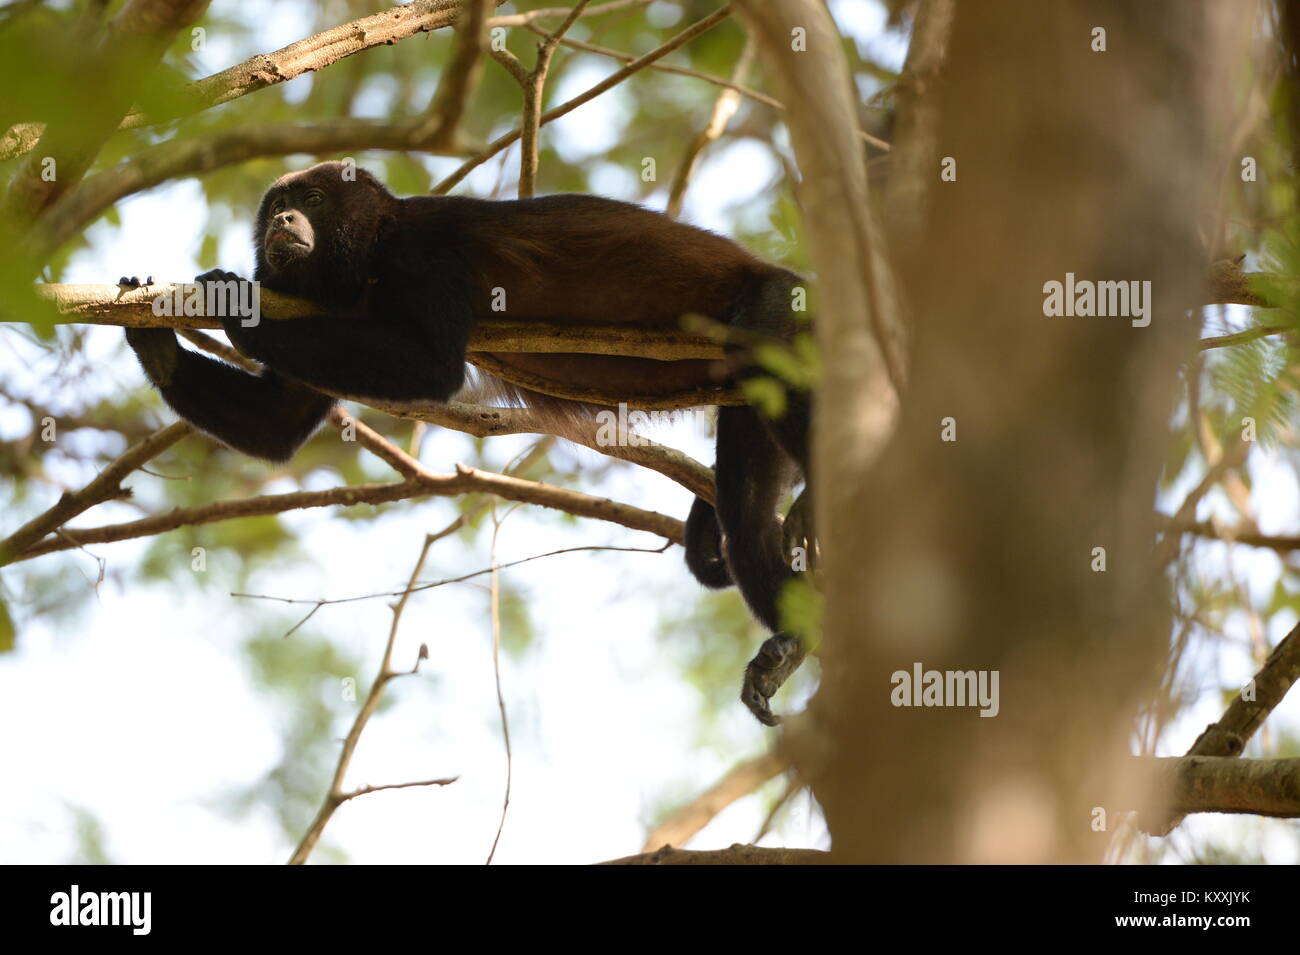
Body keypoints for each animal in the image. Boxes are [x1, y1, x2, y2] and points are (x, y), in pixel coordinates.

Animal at [124, 161, 813, 724]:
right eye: (277, 205)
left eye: (314, 199)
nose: (282, 219)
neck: (368, 258)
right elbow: (280, 421)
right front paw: (154, 343)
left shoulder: (422, 252)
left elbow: (432, 367)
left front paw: (235, 304)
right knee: (746, 513)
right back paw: (787, 639)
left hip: (780, 310)